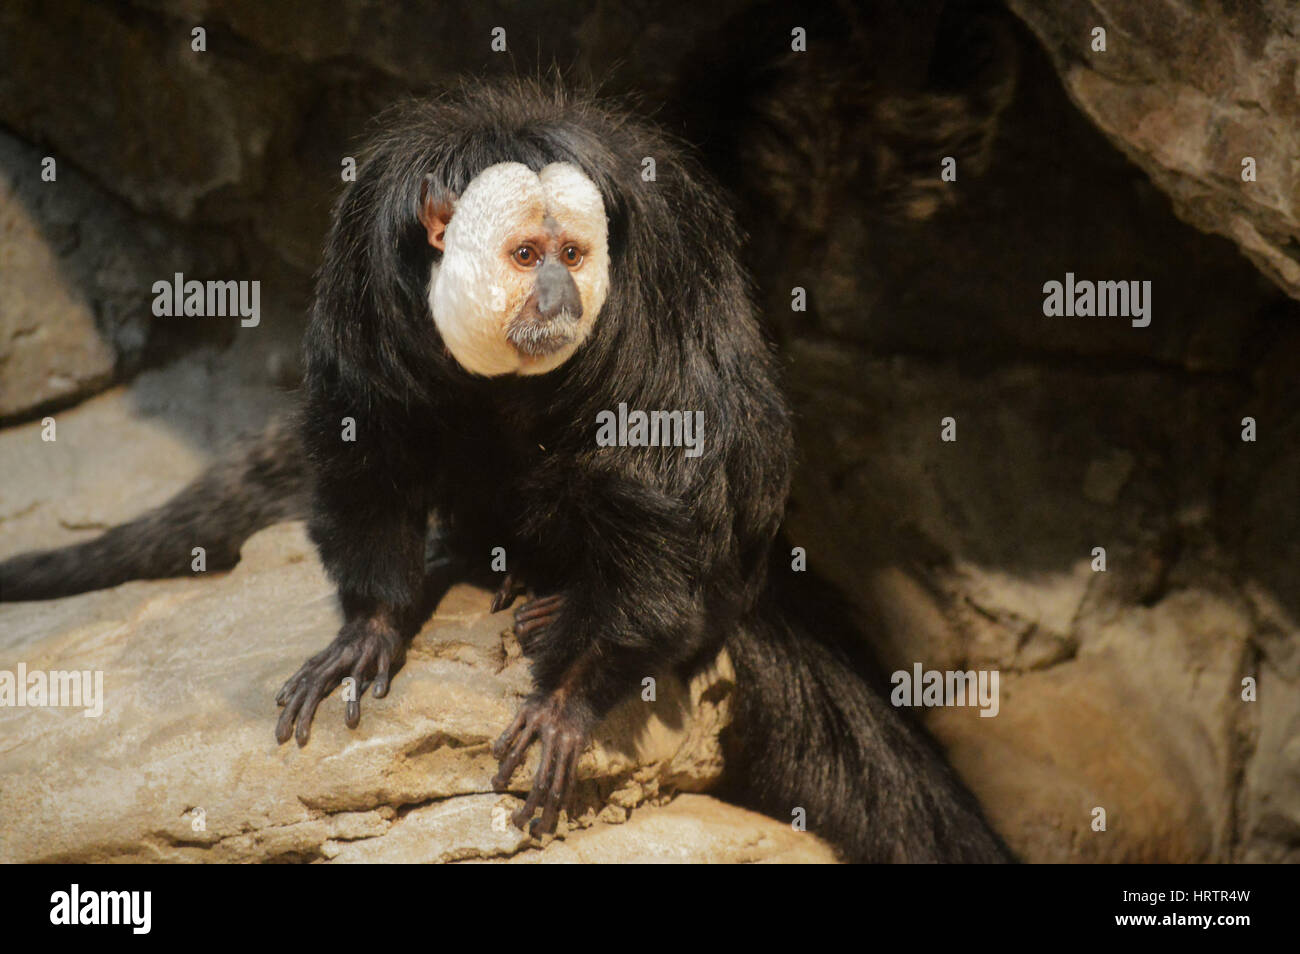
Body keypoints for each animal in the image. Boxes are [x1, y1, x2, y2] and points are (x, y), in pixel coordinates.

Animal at [0, 79, 1010, 862]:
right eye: (526, 255)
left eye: (575, 253)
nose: (559, 292)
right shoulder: (369, 264)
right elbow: (370, 435)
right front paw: (371, 625)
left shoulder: (648, 287)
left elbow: (664, 476)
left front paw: (569, 696)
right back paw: (488, 557)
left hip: (733, 576)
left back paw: (555, 593)